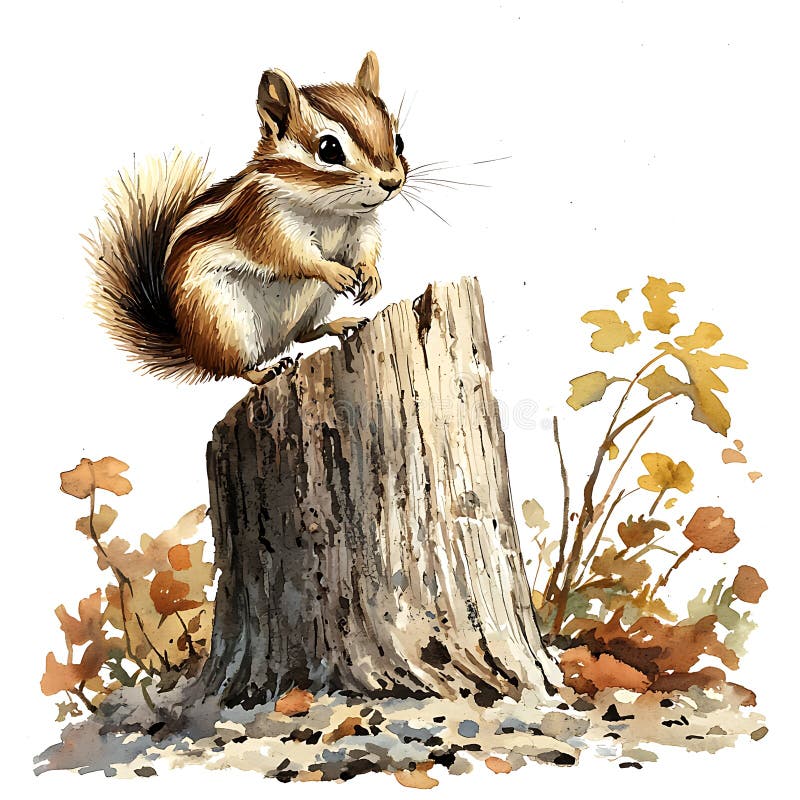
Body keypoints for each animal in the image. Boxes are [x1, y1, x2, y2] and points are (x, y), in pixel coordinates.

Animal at [87, 52, 407, 384]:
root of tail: (190, 346)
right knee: (233, 368)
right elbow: (294, 257)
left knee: (303, 334)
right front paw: (334, 271)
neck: (332, 211)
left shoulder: (362, 226)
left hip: (314, 304)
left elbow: (366, 249)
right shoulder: (267, 223)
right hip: (226, 324)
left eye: (399, 141)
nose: (392, 182)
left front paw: (370, 275)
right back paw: (265, 371)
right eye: (329, 149)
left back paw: (340, 324)